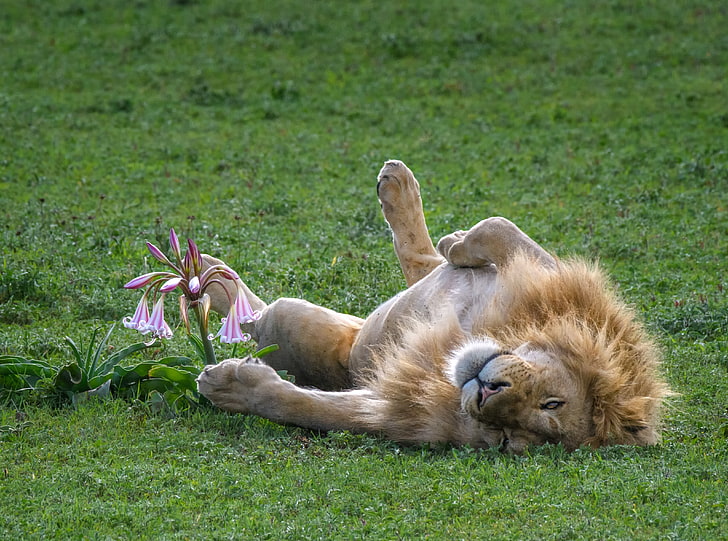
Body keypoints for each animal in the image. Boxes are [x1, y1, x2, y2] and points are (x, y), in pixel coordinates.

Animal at [196, 160, 671, 453]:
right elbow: (497, 227)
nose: (485, 394)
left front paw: (231, 387)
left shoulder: (395, 407)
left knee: (255, 315)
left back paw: (203, 280)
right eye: (552, 403)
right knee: (424, 263)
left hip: (293, 321)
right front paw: (457, 241)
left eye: (505, 438)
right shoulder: (551, 277)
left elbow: (306, 407)